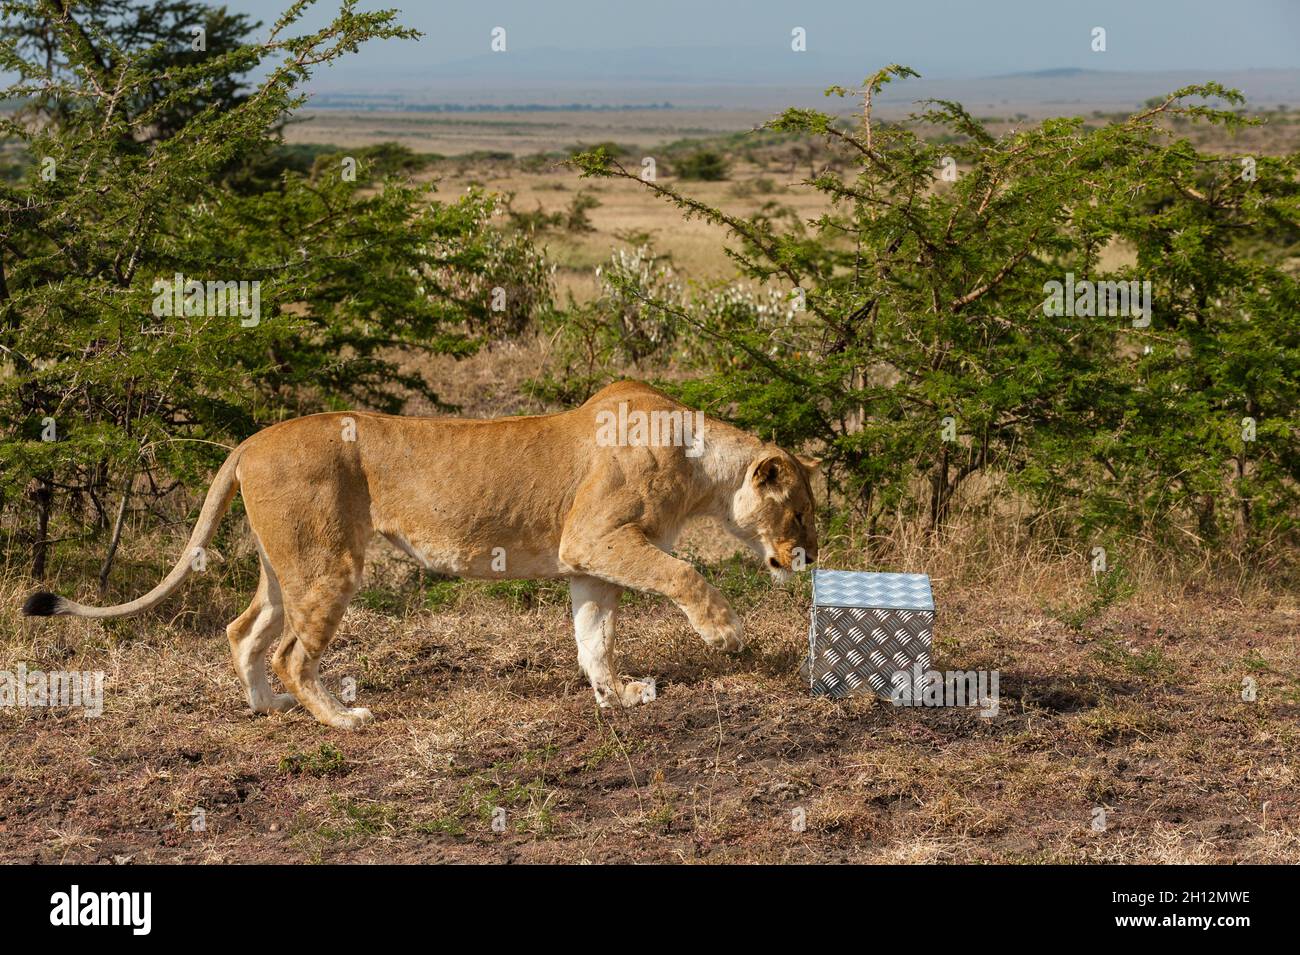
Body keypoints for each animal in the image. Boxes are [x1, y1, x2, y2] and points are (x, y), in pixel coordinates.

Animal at [22, 381, 819, 728]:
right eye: (802, 512)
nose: (809, 556)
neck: (703, 472)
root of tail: (250, 439)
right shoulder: (597, 537)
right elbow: (685, 573)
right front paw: (726, 634)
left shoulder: (589, 563)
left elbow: (595, 639)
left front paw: (616, 695)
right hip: (331, 562)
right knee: (289, 651)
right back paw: (341, 720)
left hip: (286, 564)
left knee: (244, 631)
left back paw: (266, 705)